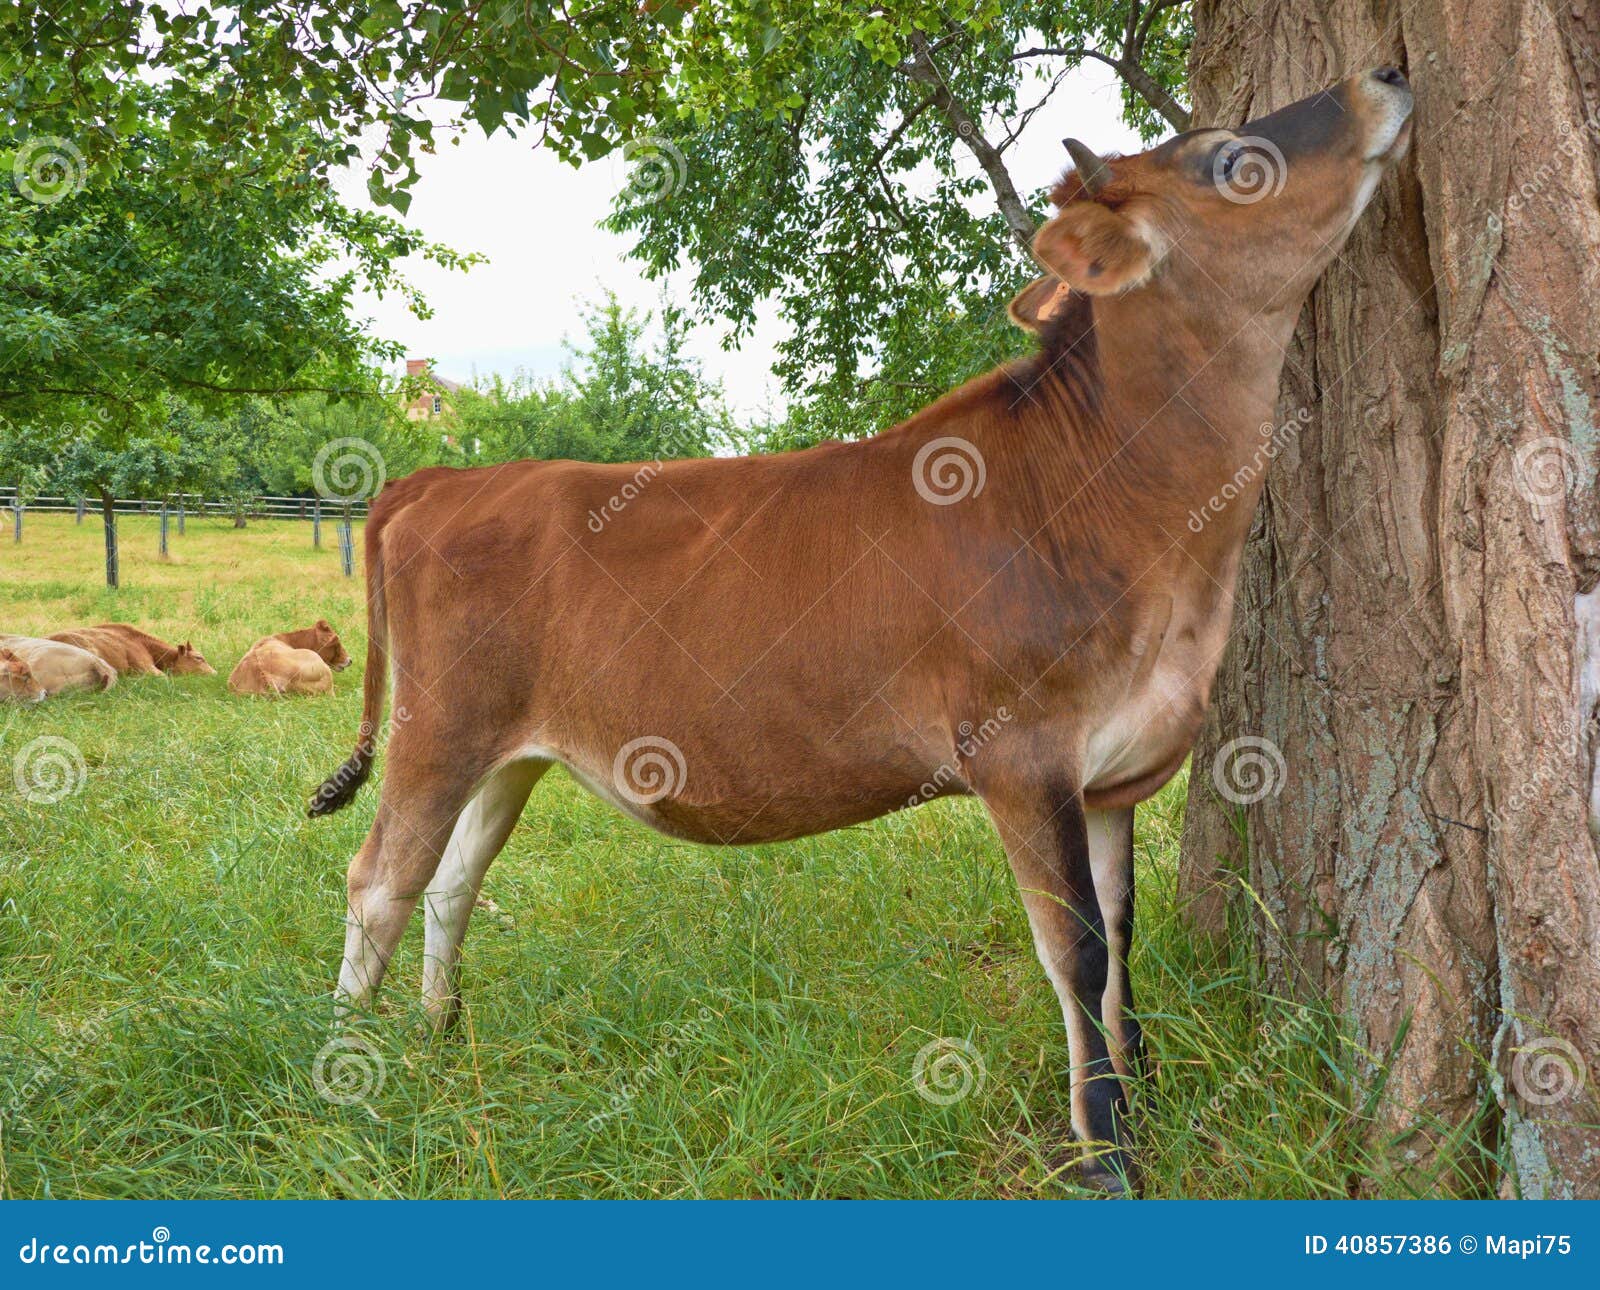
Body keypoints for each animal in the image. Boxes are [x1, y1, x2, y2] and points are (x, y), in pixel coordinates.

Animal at [310, 70, 1415, 1192]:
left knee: (450, 881)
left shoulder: (1114, 770)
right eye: (1235, 162)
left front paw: (1143, 1095)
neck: (1149, 525)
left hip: (512, 748)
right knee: (377, 880)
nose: (1384, 76)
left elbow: (1121, 930)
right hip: (439, 727)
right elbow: (1075, 952)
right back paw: (351, 1077)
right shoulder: (1023, 757)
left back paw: (440, 1036)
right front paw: (1106, 1153)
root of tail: (449, 478)